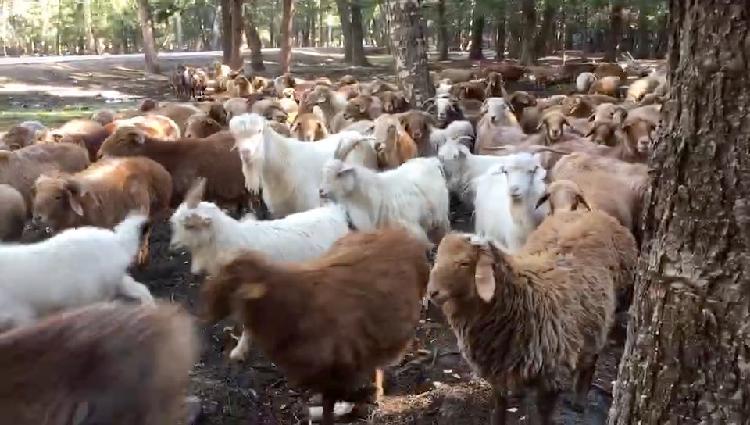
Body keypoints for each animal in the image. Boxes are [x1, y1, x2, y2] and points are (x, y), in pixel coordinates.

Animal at [427, 217, 635, 425]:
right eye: (437, 258)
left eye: (464, 263)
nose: (432, 292)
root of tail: (598, 214)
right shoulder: (497, 367)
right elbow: (499, 404)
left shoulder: (550, 375)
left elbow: (544, 414)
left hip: (605, 317)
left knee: (591, 360)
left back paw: (579, 401)